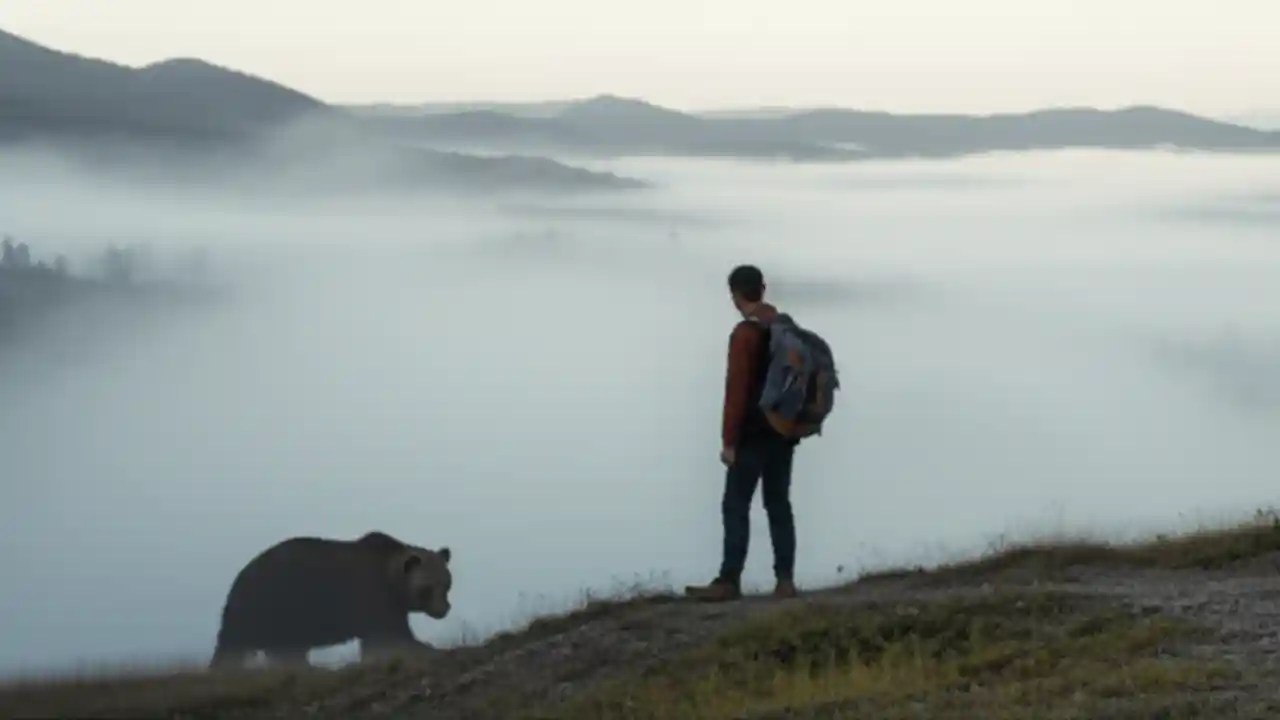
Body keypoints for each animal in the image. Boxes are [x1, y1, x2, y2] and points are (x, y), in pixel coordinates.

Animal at [209, 531, 452, 669]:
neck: (393, 582)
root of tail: (238, 581)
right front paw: (431, 649)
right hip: (278, 603)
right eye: (428, 587)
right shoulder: (371, 595)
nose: (444, 609)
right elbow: (392, 634)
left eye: (447, 584)